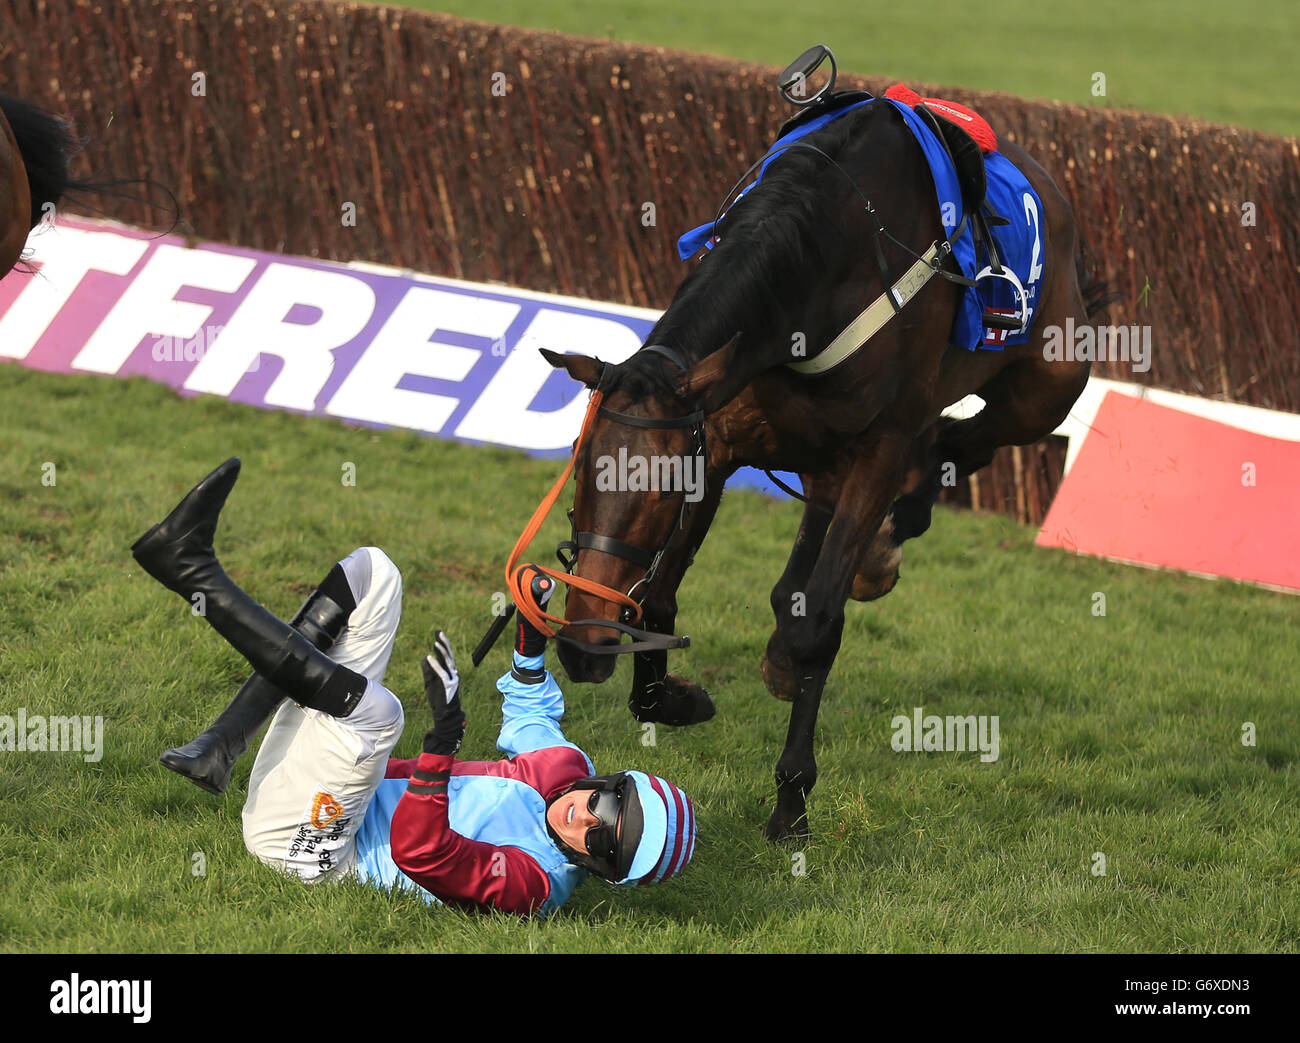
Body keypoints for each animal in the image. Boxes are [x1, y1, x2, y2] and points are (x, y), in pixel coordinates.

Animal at [538, 94, 1109, 842]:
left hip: (1043, 390)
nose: (585, 644)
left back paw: (887, 542)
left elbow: (818, 629)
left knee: (961, 444)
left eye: (661, 490)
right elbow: (660, 596)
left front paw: (791, 801)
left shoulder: (879, 448)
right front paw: (676, 698)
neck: (821, 258)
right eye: (581, 473)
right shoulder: (719, 436)